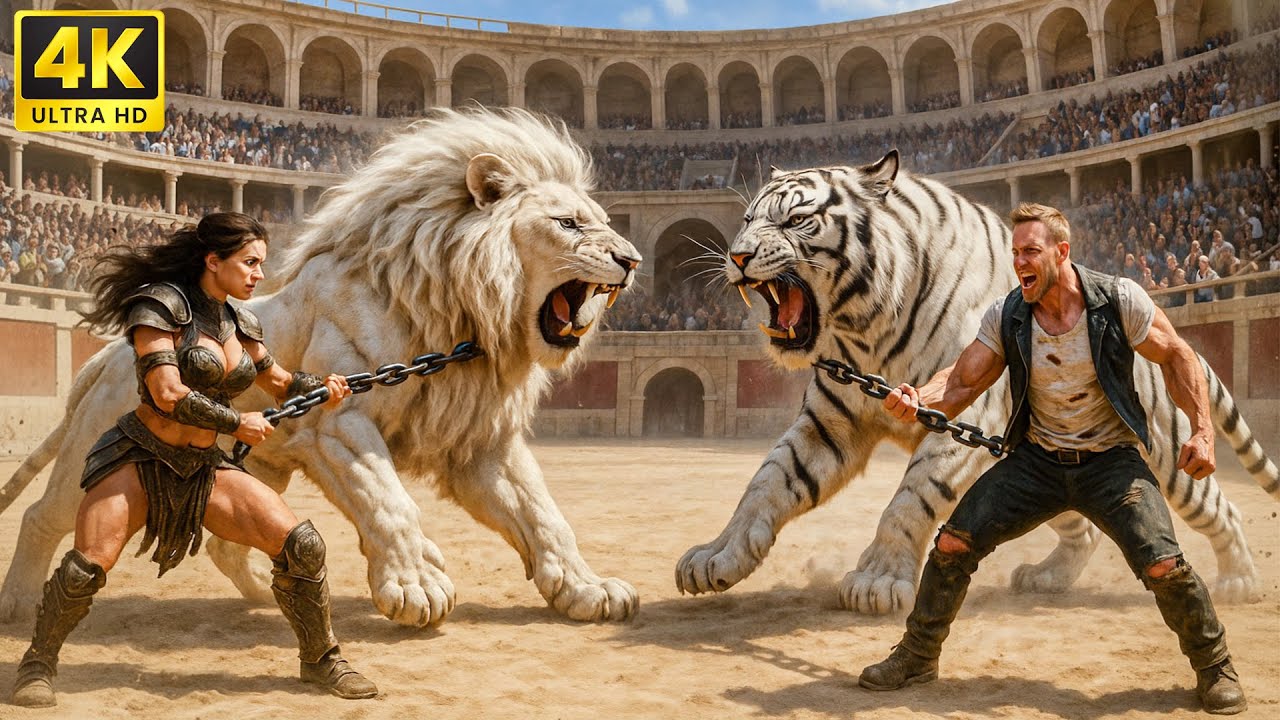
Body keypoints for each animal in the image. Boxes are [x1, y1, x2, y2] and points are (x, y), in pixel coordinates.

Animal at [0, 107, 642, 627]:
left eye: (602, 220)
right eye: (567, 223)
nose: (631, 259)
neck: (464, 317)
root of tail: (107, 354)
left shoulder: (479, 442)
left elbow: (545, 515)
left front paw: (588, 590)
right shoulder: (340, 424)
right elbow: (391, 503)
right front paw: (416, 586)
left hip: (256, 465)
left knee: (227, 544)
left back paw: (264, 596)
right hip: (98, 458)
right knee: (40, 515)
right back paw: (19, 604)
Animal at [675, 149, 1279, 614]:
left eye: (795, 221)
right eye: (747, 219)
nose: (737, 255)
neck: (861, 324)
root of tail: (1154, 312)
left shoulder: (966, 414)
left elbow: (909, 500)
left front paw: (877, 580)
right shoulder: (831, 422)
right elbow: (766, 483)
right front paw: (716, 557)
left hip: (1167, 452)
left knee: (1219, 507)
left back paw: (1239, 581)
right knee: (1080, 525)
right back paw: (1047, 576)